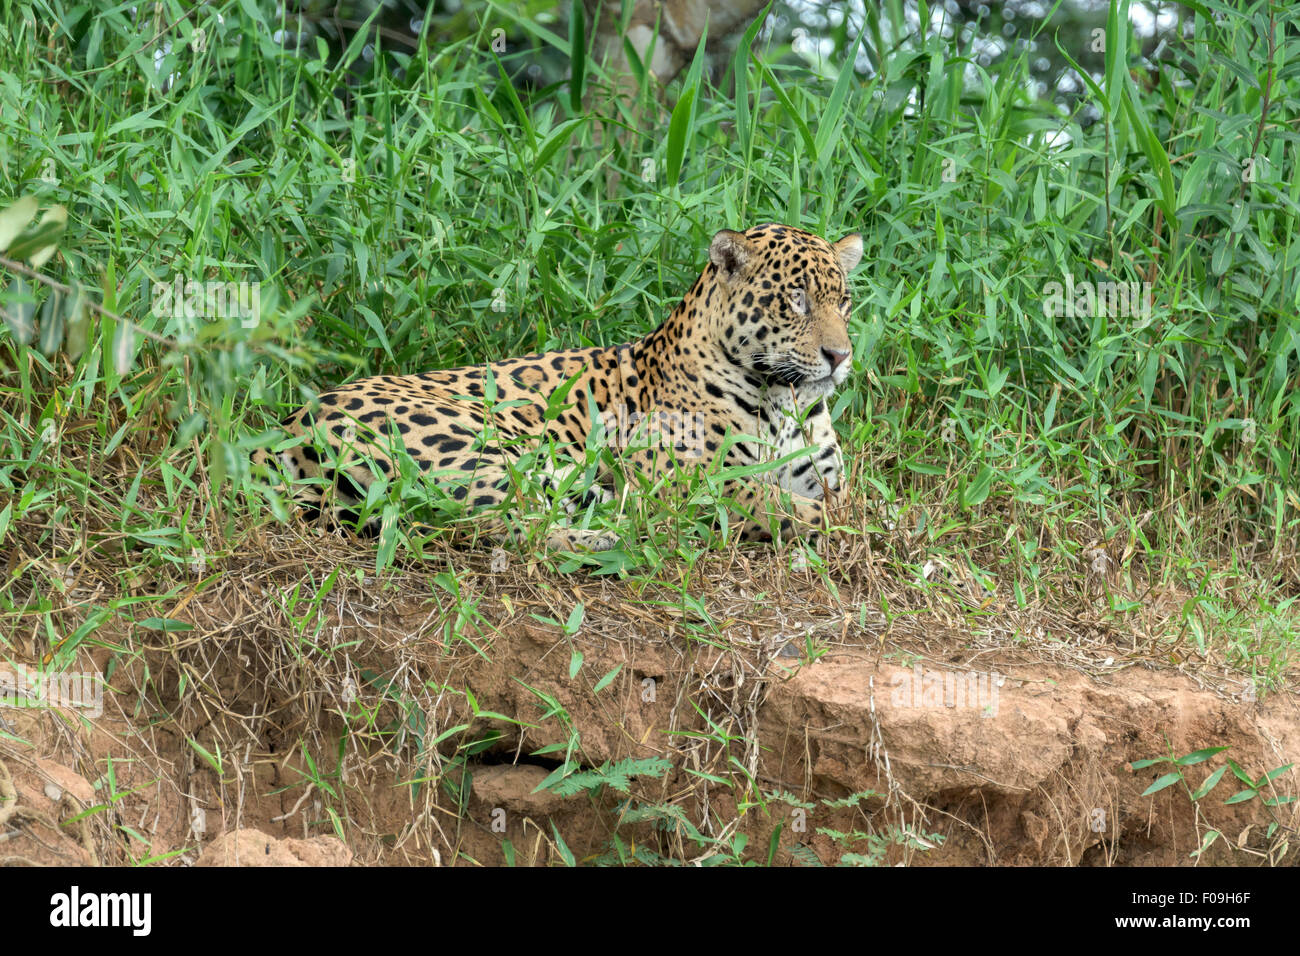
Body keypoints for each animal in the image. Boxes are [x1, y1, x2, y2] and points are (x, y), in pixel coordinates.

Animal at [257, 223, 864, 550]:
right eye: (794, 299)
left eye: (843, 301)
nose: (840, 357)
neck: (784, 399)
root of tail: (286, 429)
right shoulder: (689, 479)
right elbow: (794, 509)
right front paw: (841, 525)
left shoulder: (824, 476)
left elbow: (838, 500)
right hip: (480, 448)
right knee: (485, 522)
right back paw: (608, 537)